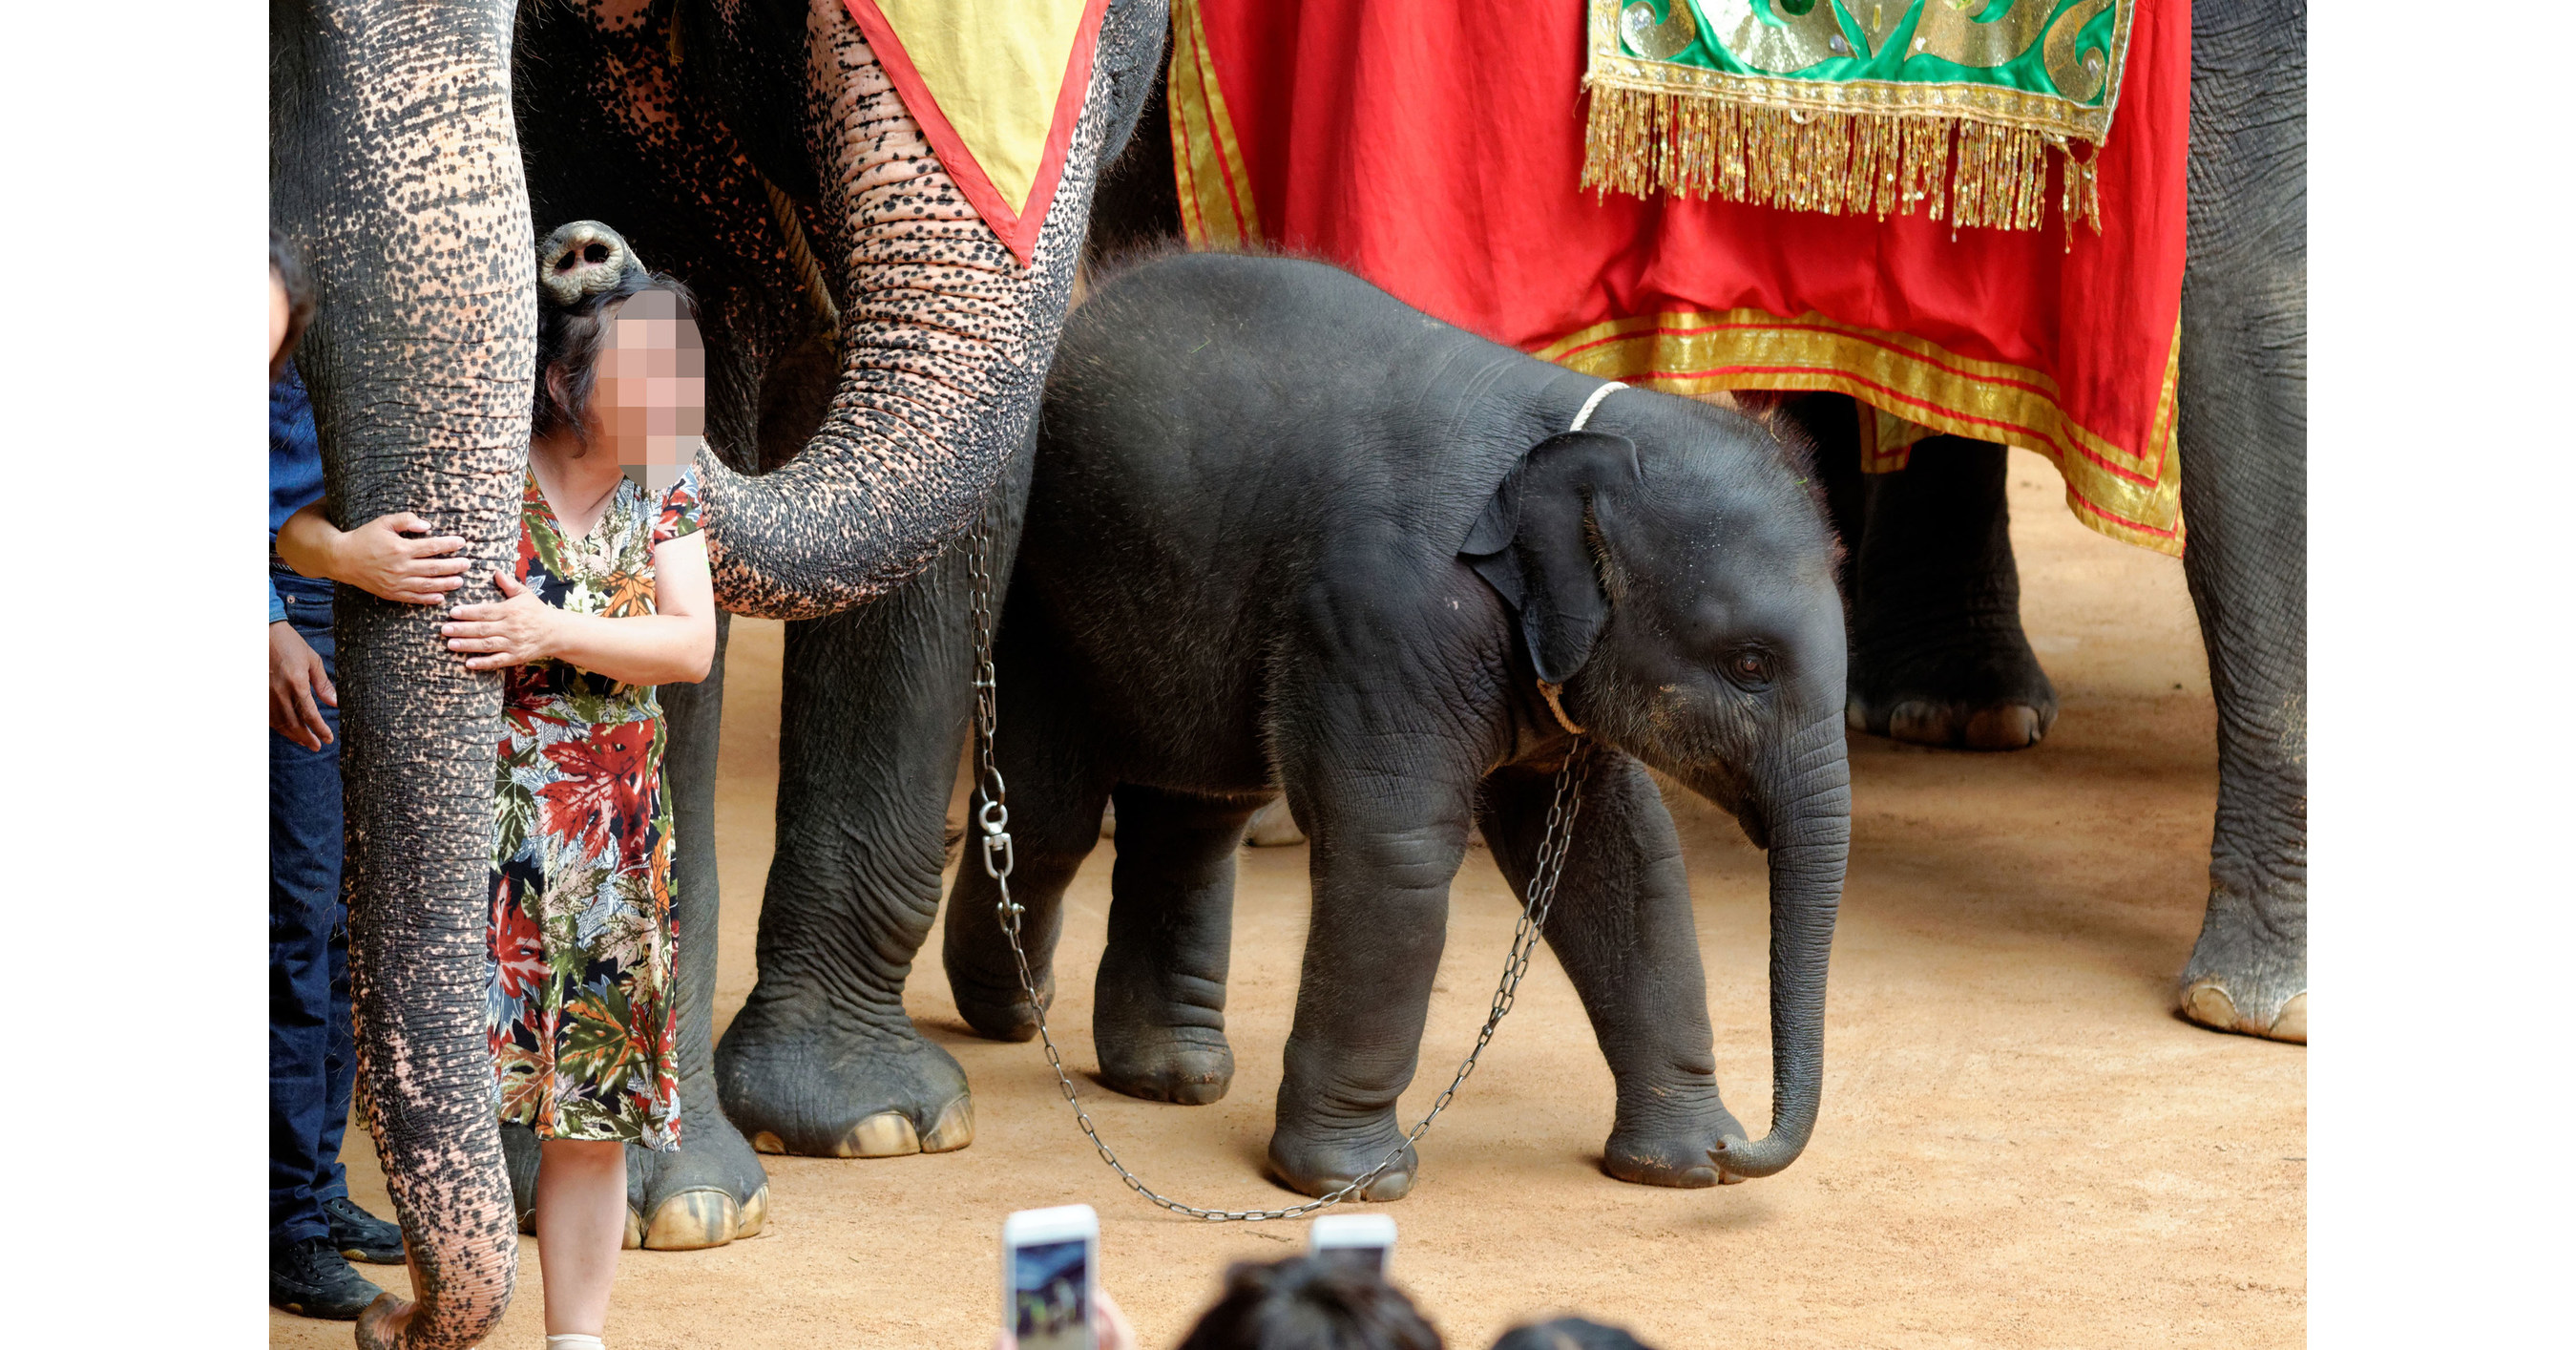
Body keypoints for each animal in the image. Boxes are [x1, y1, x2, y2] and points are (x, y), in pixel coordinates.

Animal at [927, 251, 1851, 1200]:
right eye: (1750, 664)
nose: (1741, 1151)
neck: (1574, 428)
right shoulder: (1381, 615)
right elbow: (1392, 846)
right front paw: (1353, 1185)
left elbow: (1621, 853)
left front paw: (1682, 1168)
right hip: (1041, 601)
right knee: (1051, 815)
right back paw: (1011, 1011)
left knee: (1194, 813)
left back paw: (1169, 1075)